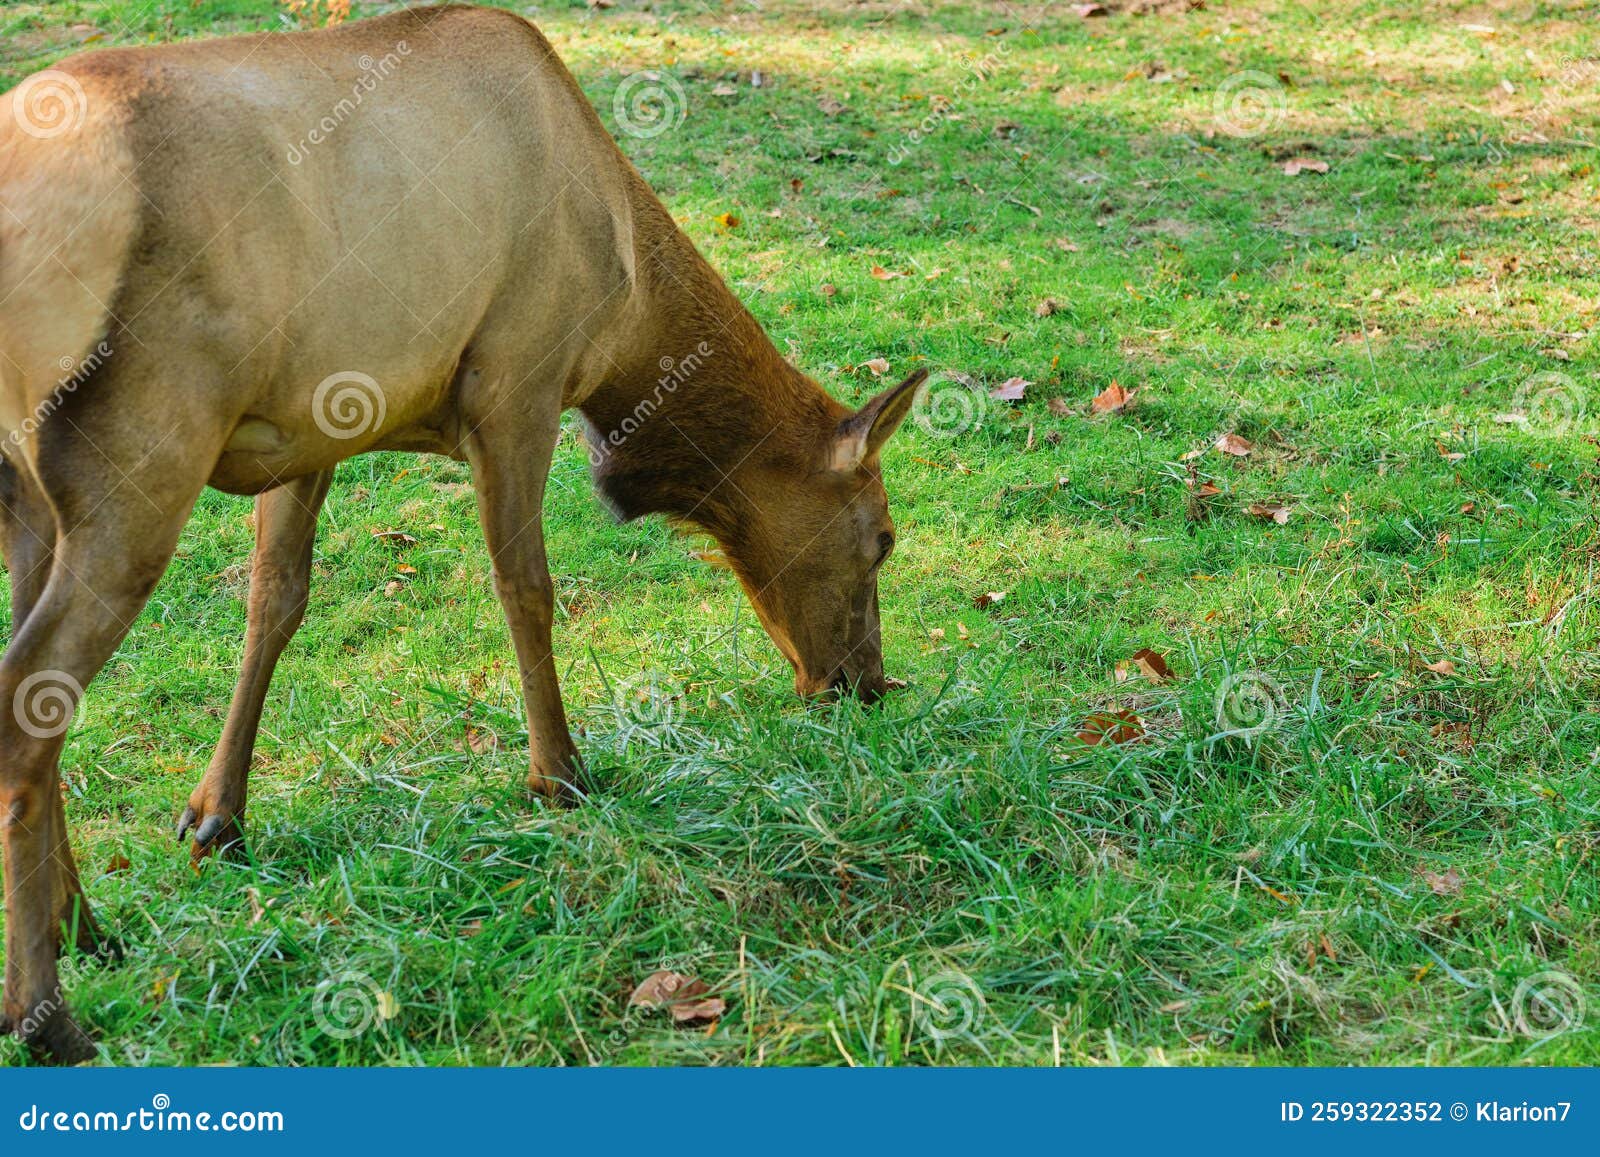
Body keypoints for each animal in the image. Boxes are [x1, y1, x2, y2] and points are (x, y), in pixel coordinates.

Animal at [0, 4, 928, 1062]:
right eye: (883, 536)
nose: (866, 684)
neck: (629, 310)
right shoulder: (517, 378)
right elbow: (526, 588)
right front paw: (559, 775)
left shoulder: (315, 423)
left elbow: (274, 601)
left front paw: (216, 817)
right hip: (141, 451)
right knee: (27, 704)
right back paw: (47, 1014)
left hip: (30, 494)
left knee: (41, 697)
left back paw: (86, 925)